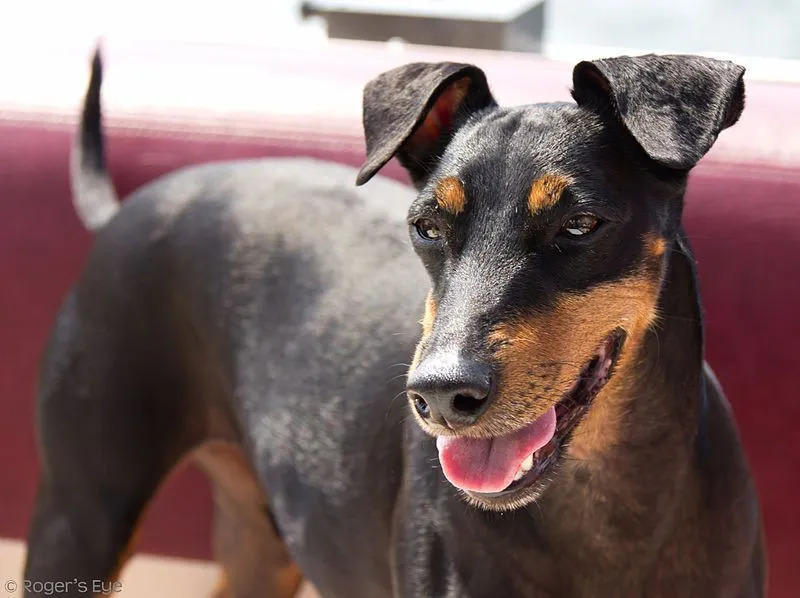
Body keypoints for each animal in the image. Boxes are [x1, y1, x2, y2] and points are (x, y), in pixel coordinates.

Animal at [21, 49, 764, 596]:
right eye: (427, 227)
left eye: (579, 224)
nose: (441, 395)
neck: (606, 507)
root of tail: (123, 210)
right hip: (79, 516)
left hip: (260, 540)